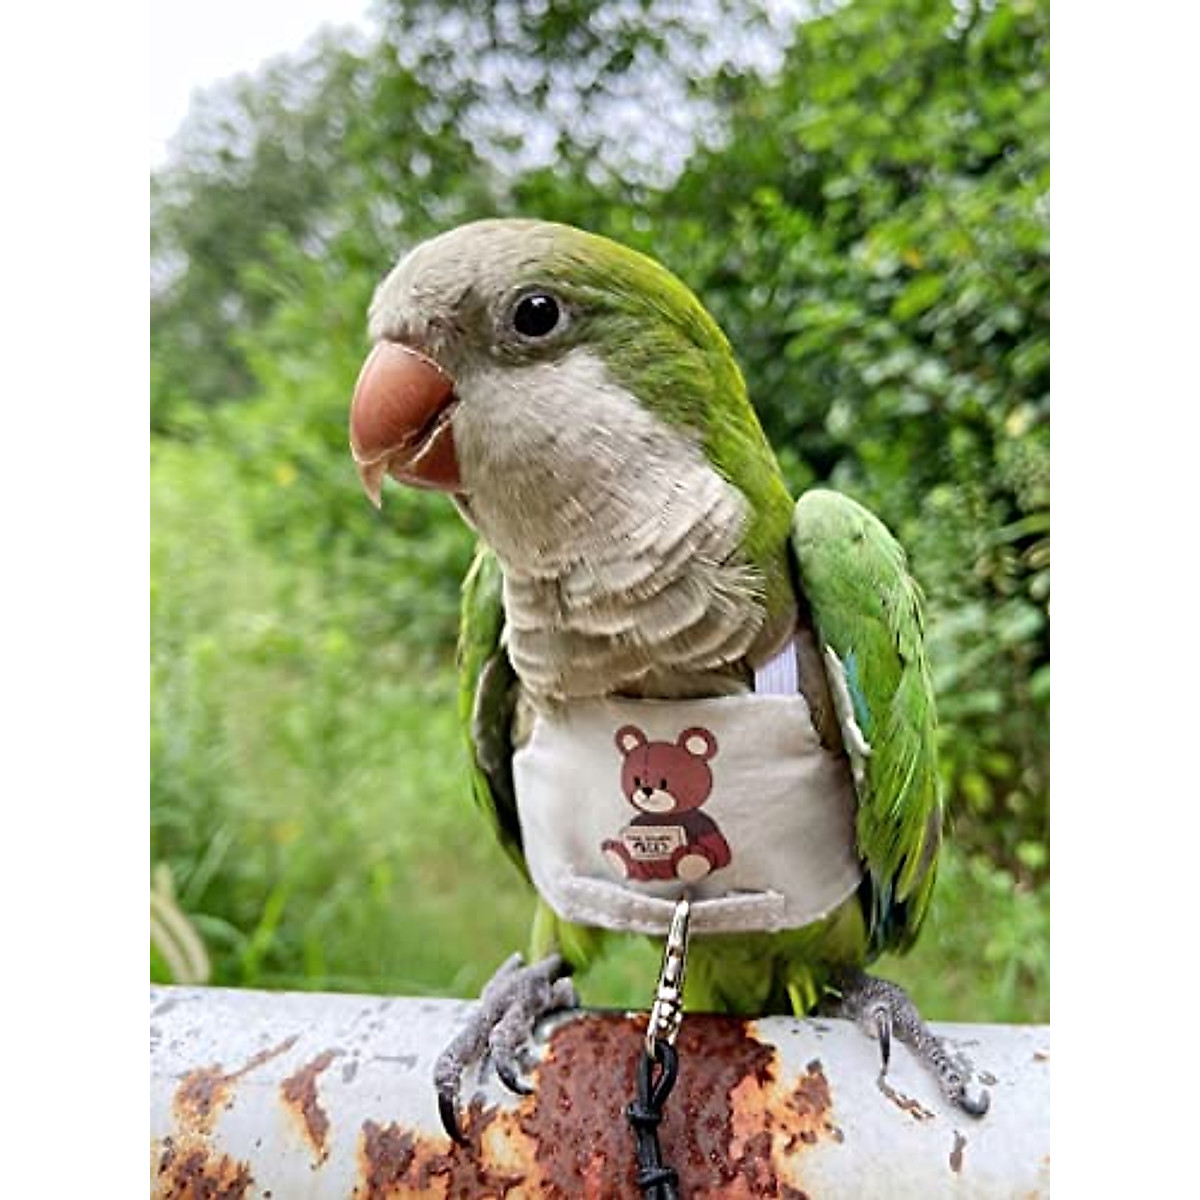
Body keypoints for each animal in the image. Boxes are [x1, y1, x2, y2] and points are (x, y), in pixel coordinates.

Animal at [601, 724, 732, 884]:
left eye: (664, 783)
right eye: (636, 781)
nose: (646, 789)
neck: (664, 815)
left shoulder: (704, 824)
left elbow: (719, 849)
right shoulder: (637, 823)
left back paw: (691, 858)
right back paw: (615, 854)